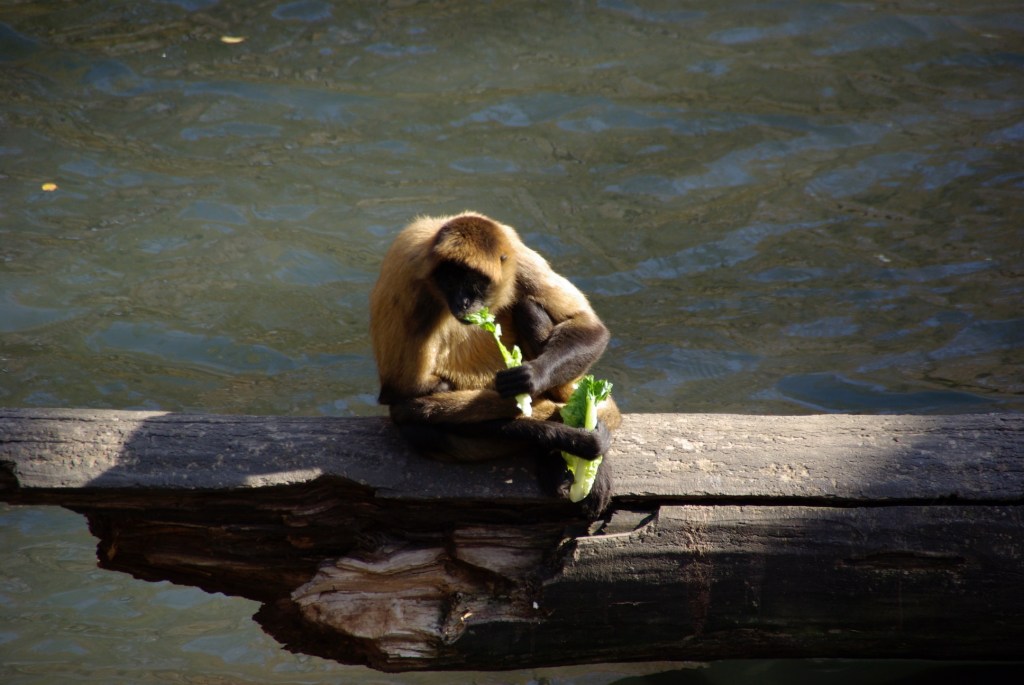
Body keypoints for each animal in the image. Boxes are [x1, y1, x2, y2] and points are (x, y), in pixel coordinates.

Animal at [369, 211, 621, 516]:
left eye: (475, 283)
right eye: (450, 281)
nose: (463, 302)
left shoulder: (517, 255)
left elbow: (589, 326)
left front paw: (530, 377)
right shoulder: (406, 268)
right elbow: (400, 396)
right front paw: (570, 439)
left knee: (527, 305)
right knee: (420, 427)